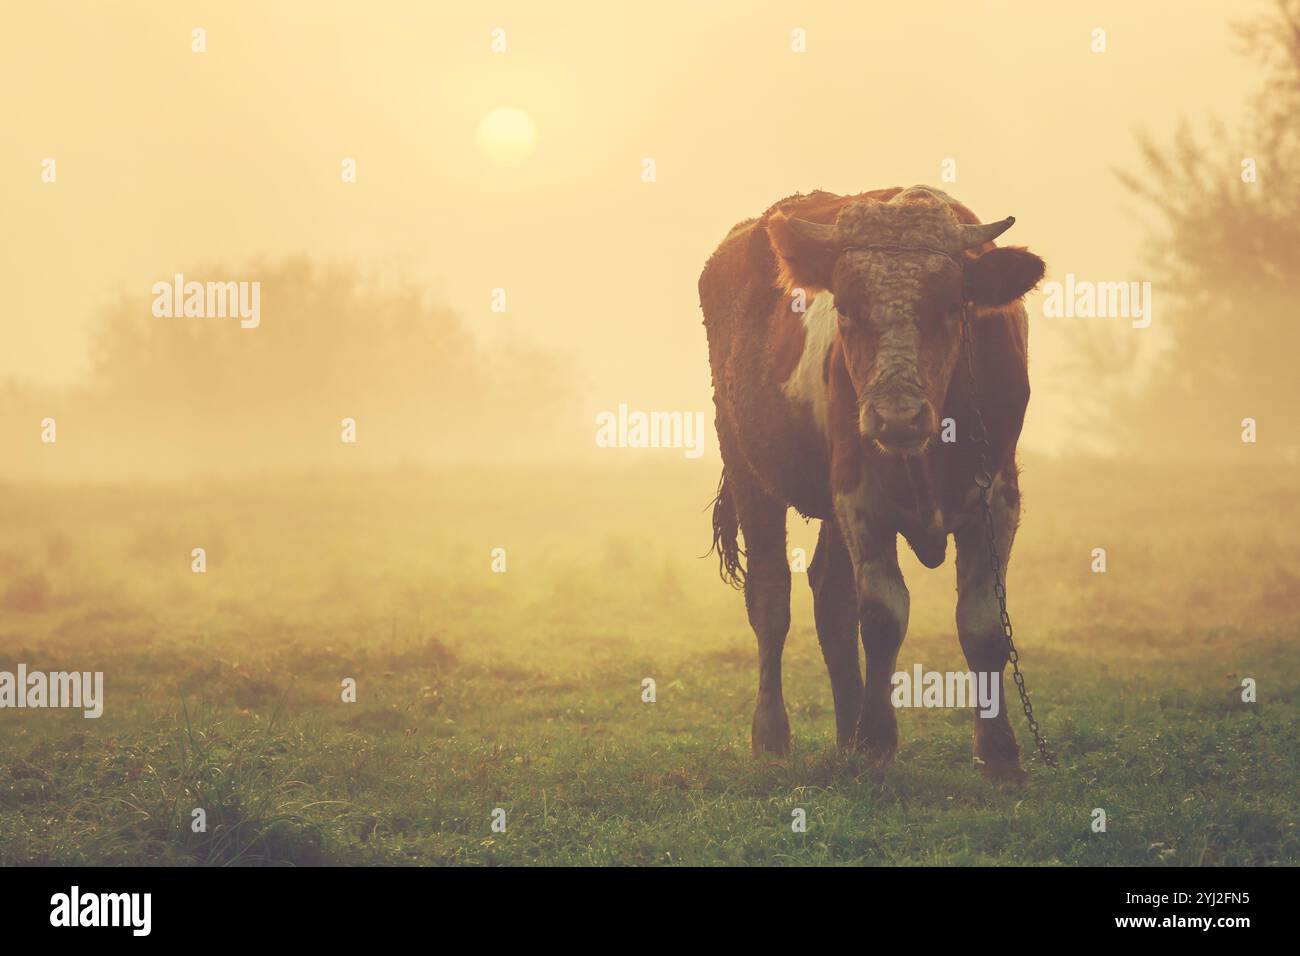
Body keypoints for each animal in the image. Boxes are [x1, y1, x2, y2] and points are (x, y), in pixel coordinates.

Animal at [699, 186, 1045, 780]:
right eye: (845, 308)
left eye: (950, 306)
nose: (896, 416)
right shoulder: (860, 499)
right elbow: (882, 616)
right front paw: (879, 742)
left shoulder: (997, 498)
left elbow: (982, 625)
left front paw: (999, 752)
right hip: (748, 467)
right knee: (771, 599)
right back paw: (772, 737)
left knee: (829, 597)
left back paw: (847, 734)